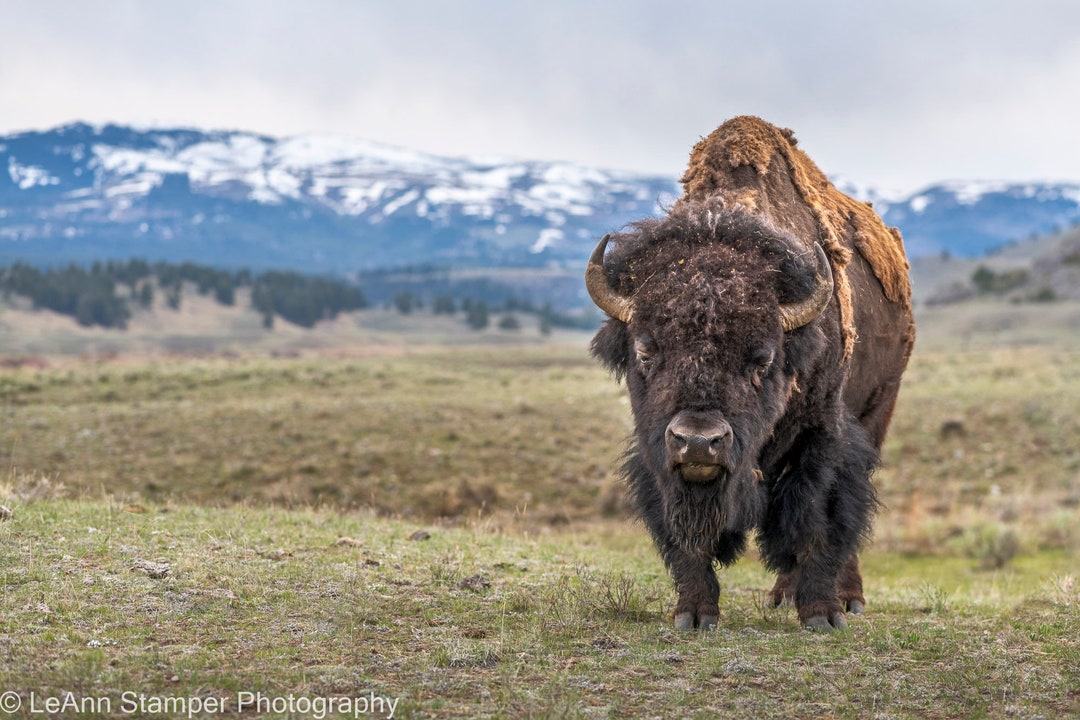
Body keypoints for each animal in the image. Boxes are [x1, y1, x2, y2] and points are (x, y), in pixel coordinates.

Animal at [587, 116, 915, 631]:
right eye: (645, 352)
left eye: (762, 359)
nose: (698, 442)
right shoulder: (657, 457)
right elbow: (684, 537)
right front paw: (694, 613)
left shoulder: (823, 436)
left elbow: (818, 520)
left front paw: (821, 615)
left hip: (881, 406)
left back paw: (841, 598)